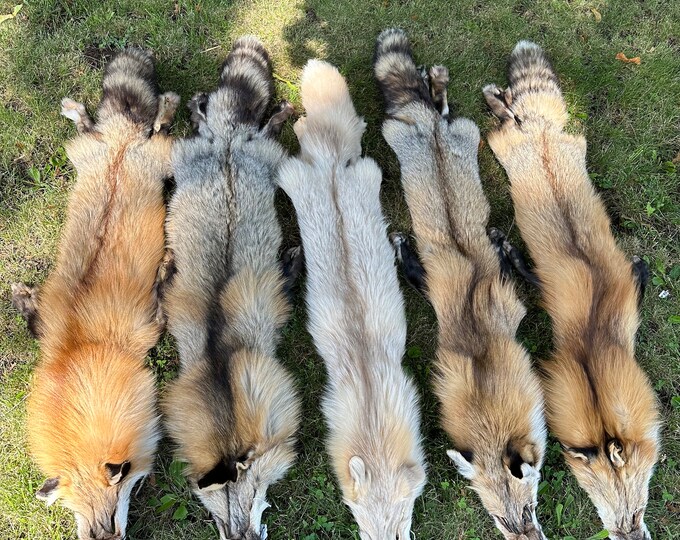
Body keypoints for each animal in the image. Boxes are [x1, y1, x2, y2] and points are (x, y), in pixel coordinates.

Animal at [10, 49, 179, 539]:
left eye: (111, 520)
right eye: (87, 524)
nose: (108, 536)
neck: (77, 349)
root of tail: (122, 146)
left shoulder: (147, 328)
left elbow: (164, 297)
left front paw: (167, 266)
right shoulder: (49, 329)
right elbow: (30, 312)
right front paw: (19, 296)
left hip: (164, 159)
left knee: (160, 129)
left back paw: (165, 107)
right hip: (87, 153)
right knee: (92, 129)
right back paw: (78, 112)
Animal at [161, 36, 301, 540]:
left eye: (248, 493)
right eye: (215, 513)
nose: (243, 536)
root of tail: (227, 143)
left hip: (267, 159)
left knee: (261, 133)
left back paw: (272, 117)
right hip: (185, 159)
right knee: (208, 120)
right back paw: (201, 109)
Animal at [374, 29, 548, 540]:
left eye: (529, 510)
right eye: (502, 520)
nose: (531, 538)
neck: (488, 405)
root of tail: (425, 128)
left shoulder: (508, 304)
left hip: (455, 132)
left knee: (447, 110)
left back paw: (437, 88)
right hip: (412, 135)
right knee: (432, 110)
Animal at [482, 41, 660, 540]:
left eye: (636, 513)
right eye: (618, 518)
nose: (633, 536)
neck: (595, 359)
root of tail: (542, 136)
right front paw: (508, 254)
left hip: (551, 141)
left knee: (516, 115)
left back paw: (501, 99)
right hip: (501, 146)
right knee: (506, 121)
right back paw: (495, 100)